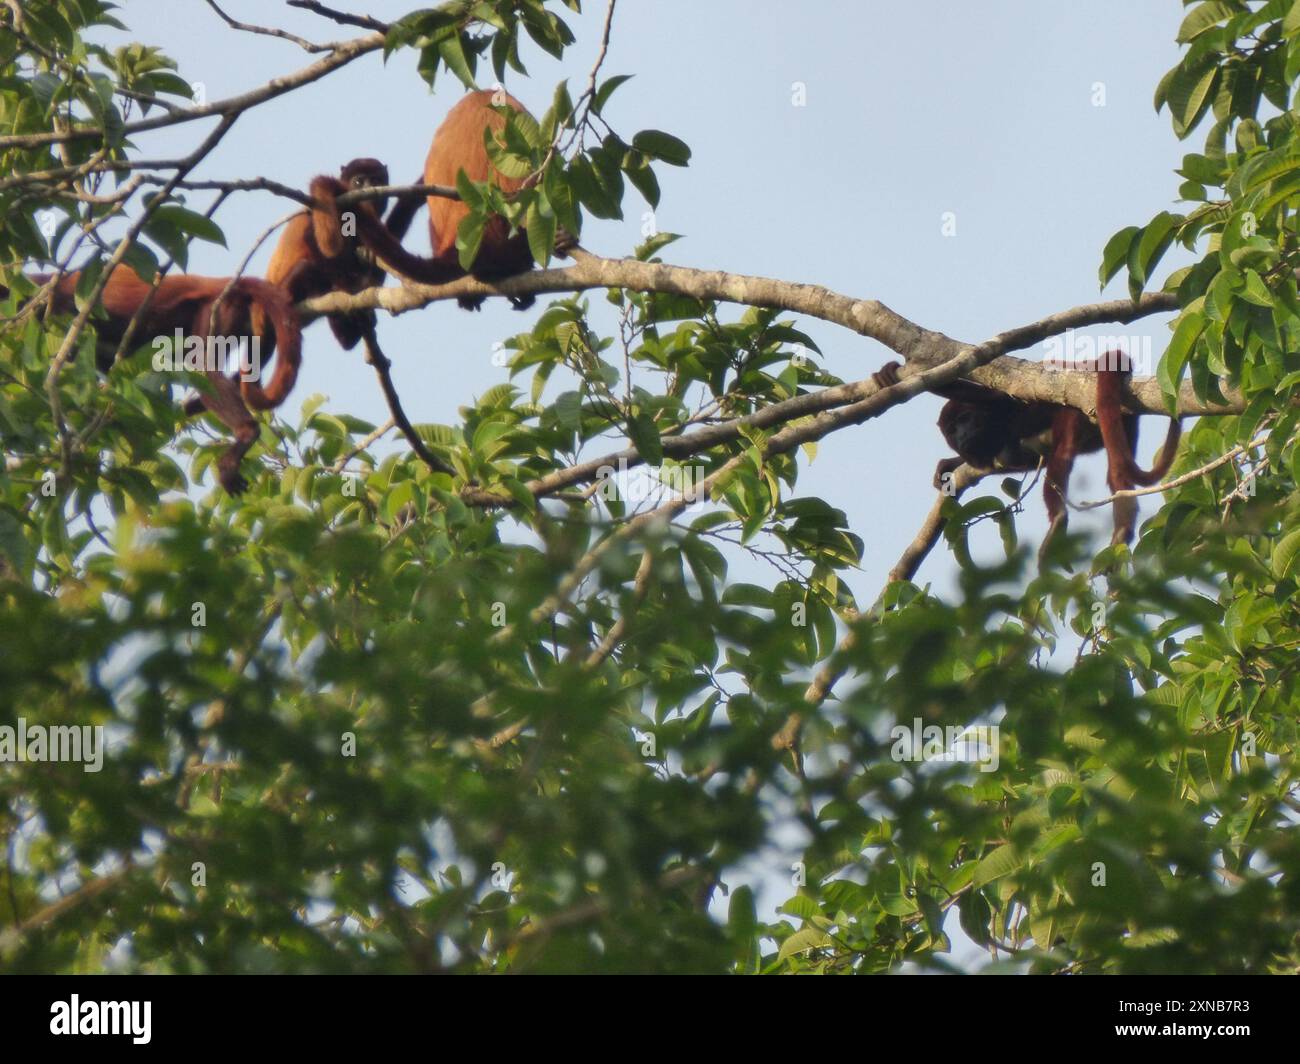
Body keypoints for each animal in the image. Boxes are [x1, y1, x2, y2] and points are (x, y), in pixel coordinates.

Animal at [873, 353, 1181, 552]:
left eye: (964, 420)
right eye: (951, 430)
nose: (961, 435)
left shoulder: (999, 399)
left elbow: (971, 391)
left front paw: (889, 374)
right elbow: (1001, 461)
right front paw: (948, 465)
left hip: (1076, 402)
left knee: (1061, 457)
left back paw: (1059, 519)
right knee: (1117, 470)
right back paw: (1122, 527)